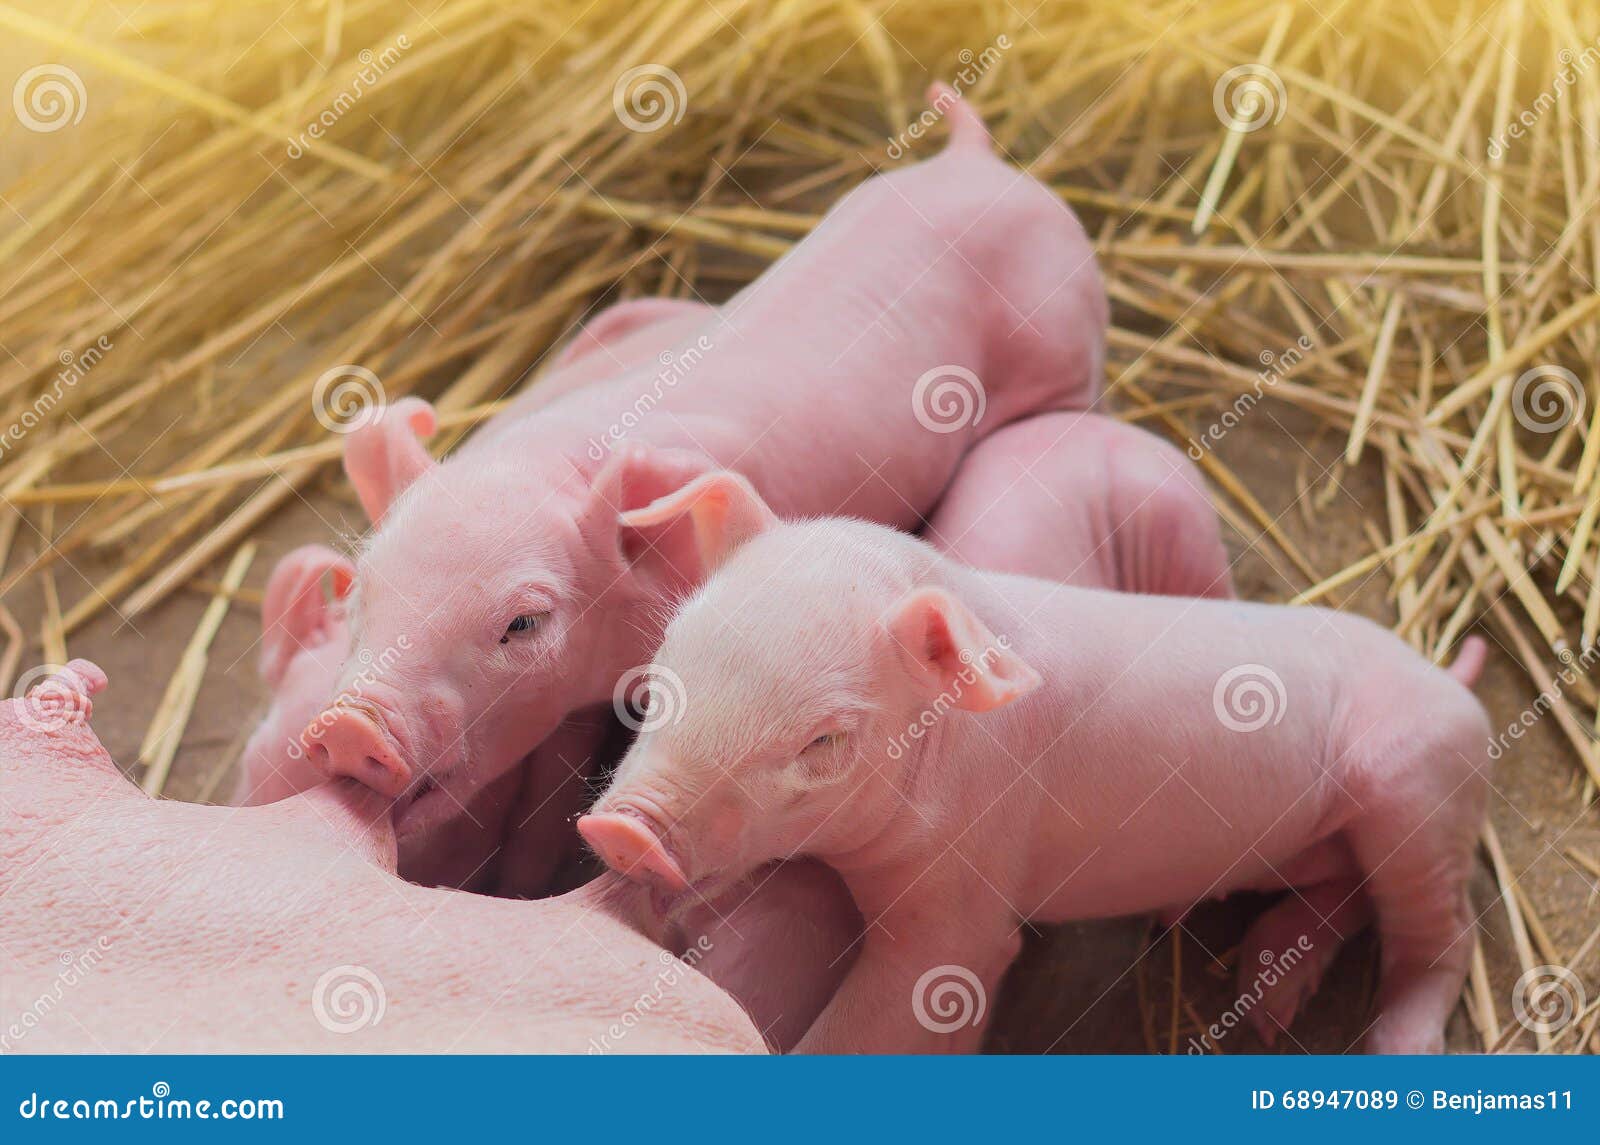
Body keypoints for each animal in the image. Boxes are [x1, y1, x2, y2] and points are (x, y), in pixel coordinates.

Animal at [580, 471, 1491, 1054]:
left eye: (825, 741)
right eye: (663, 667)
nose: (624, 829)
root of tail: (1451, 683)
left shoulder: (968, 897)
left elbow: (928, 983)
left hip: (1416, 788)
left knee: (1444, 935)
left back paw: (1392, 1044)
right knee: (1345, 891)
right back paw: (1261, 987)